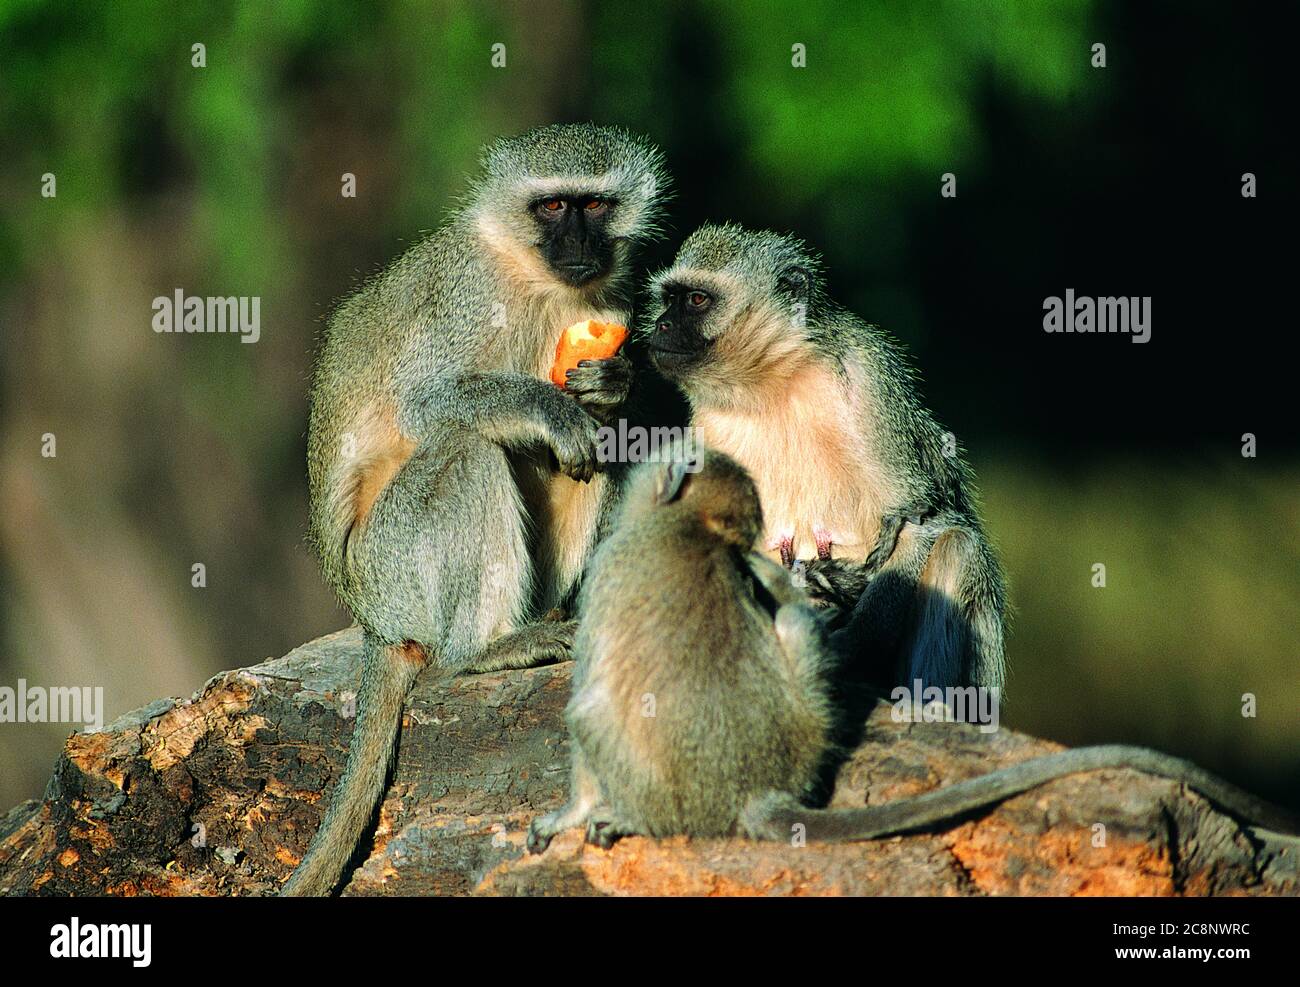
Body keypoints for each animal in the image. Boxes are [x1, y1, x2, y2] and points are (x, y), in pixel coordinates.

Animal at [283, 124, 670, 896]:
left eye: (595, 205)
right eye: (552, 206)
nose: (578, 243)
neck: (538, 282)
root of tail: (372, 619)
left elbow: (607, 417)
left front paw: (617, 379)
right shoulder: (469, 298)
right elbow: (425, 401)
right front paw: (549, 405)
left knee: (595, 449)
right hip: (393, 566)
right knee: (467, 449)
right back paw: (485, 649)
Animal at [644, 223, 1006, 693]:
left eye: (696, 300)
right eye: (669, 298)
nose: (662, 323)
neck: (774, 383)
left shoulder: (869, 377)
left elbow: (917, 522)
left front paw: (849, 647)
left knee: (957, 546)